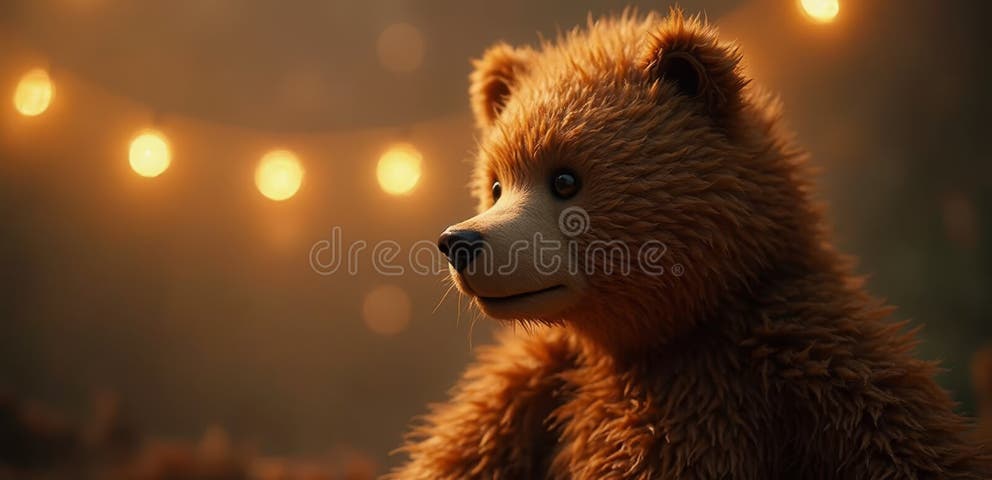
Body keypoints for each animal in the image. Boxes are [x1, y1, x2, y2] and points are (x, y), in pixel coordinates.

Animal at [389, 9, 992, 479]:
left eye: (564, 179)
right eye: (495, 184)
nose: (460, 242)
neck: (663, 337)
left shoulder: (801, 347)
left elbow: (896, 436)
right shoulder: (536, 381)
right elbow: (464, 448)